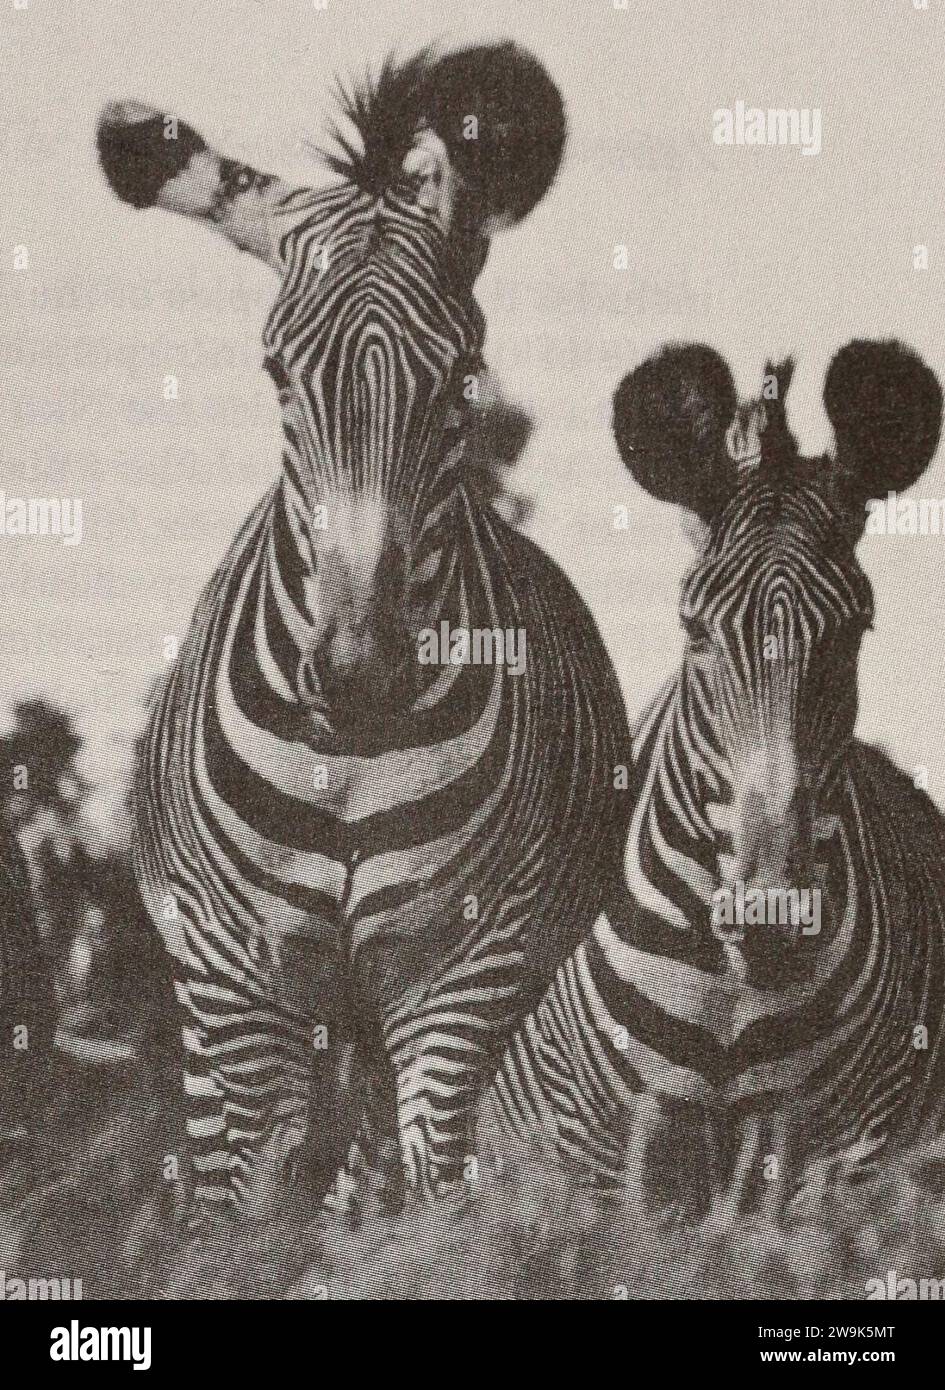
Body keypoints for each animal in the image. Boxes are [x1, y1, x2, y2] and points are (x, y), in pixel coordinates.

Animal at [96, 44, 632, 1218]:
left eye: (464, 376)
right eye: (275, 373)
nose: (359, 676)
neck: (346, 759)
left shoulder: (464, 974)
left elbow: (438, 1205)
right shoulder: (237, 985)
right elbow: (250, 1213)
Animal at [487, 338, 945, 1216]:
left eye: (857, 630)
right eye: (692, 631)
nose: (771, 918)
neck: (731, 993)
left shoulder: (818, 1147)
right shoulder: (604, 1151)